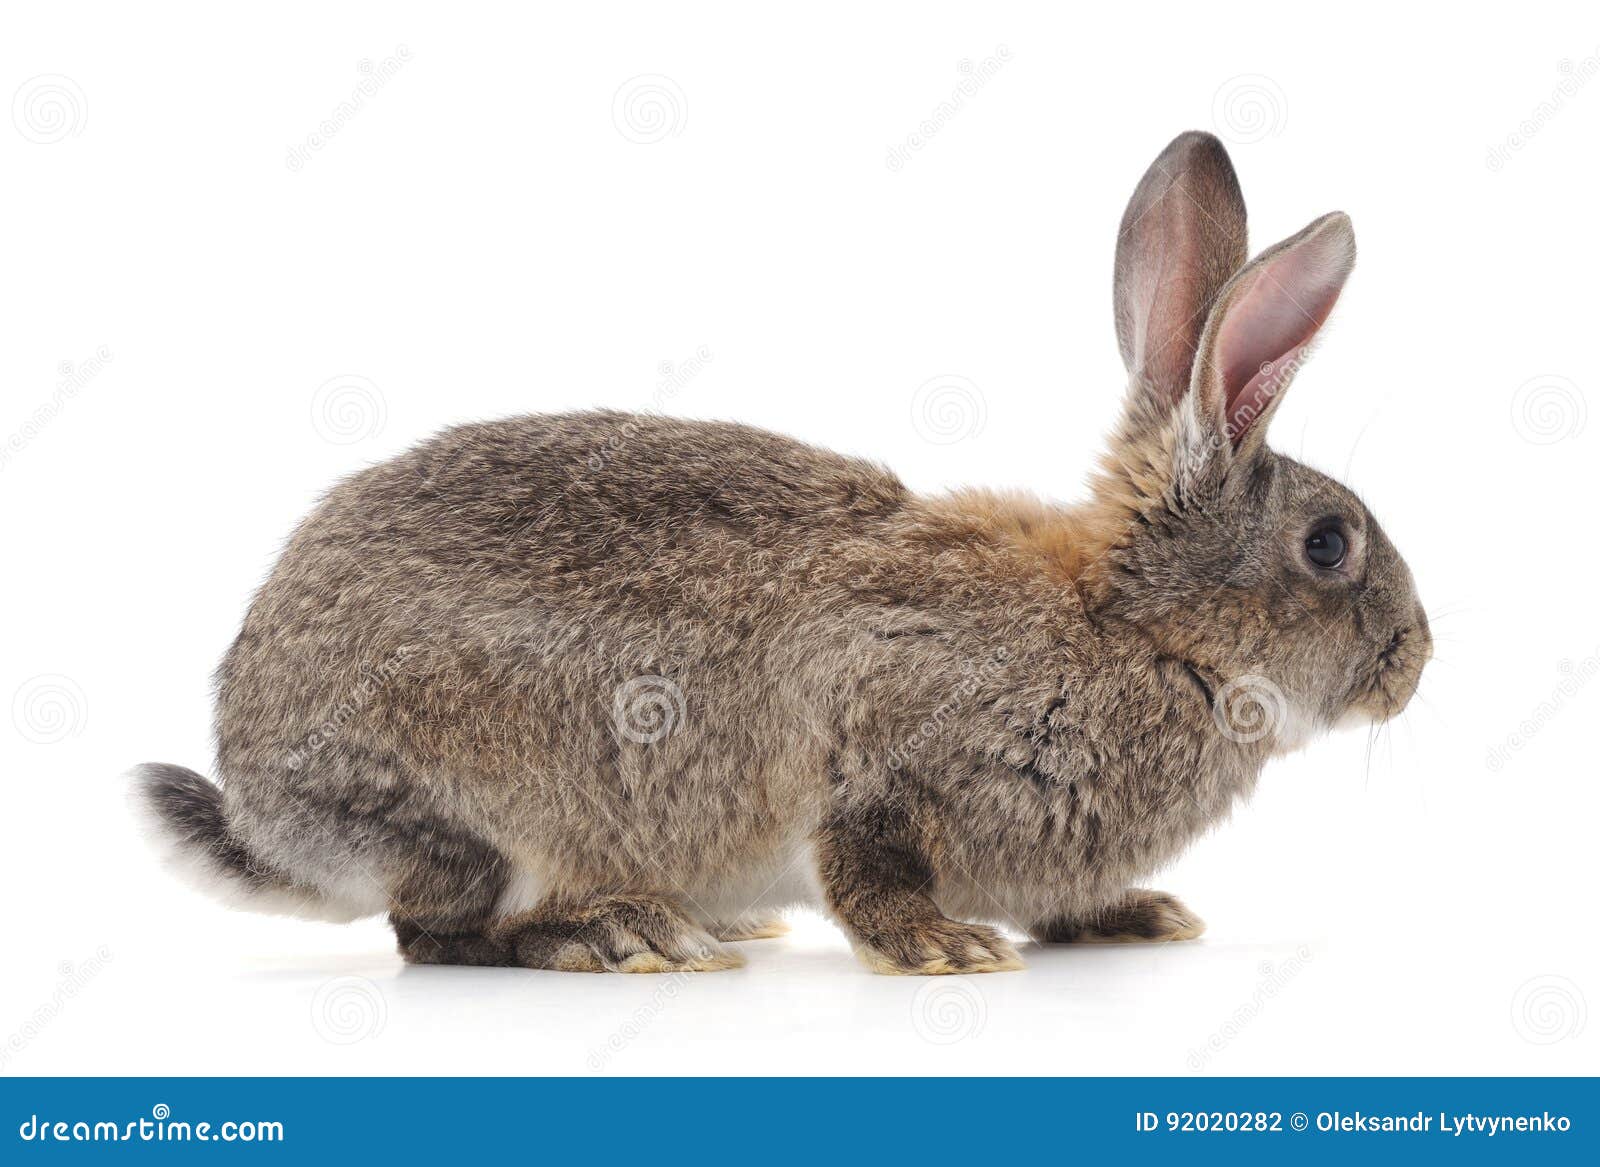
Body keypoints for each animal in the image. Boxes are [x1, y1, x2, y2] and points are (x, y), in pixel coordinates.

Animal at [131, 131, 1430, 975]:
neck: (1139, 628)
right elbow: (862, 860)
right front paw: (944, 948)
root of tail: (264, 811)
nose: (1415, 664)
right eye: (1328, 545)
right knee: (436, 932)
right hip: (473, 820)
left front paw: (1134, 917)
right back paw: (622, 931)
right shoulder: (882, 748)